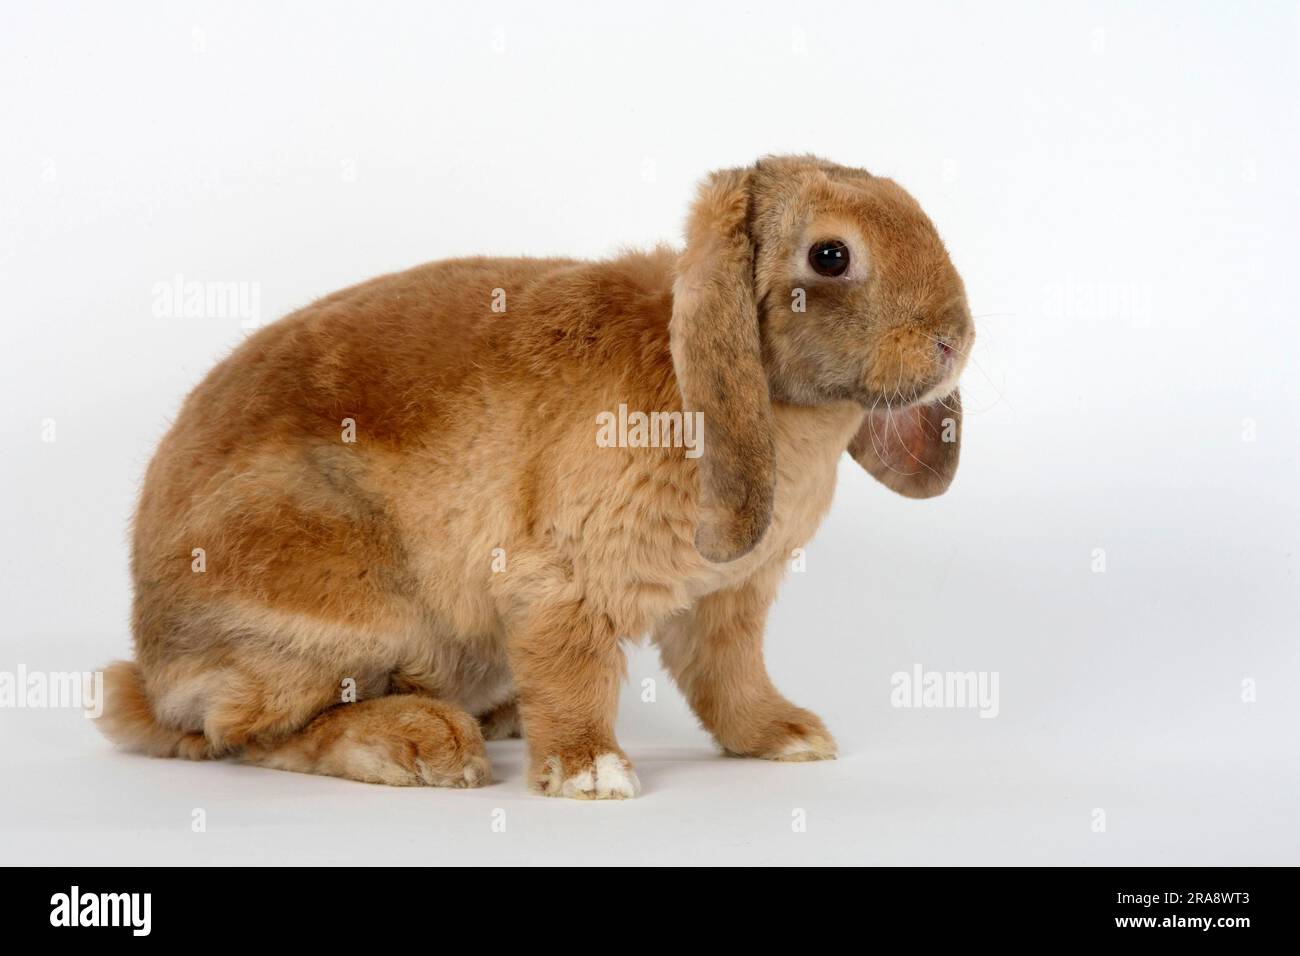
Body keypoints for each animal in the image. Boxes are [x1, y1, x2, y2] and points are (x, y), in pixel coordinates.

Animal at [98, 154, 973, 799]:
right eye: (831, 255)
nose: (954, 339)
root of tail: (152, 670)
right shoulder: (561, 578)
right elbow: (575, 671)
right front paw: (591, 773)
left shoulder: (728, 599)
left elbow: (728, 679)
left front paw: (789, 736)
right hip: (323, 606)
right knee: (246, 734)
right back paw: (424, 745)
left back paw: (490, 719)